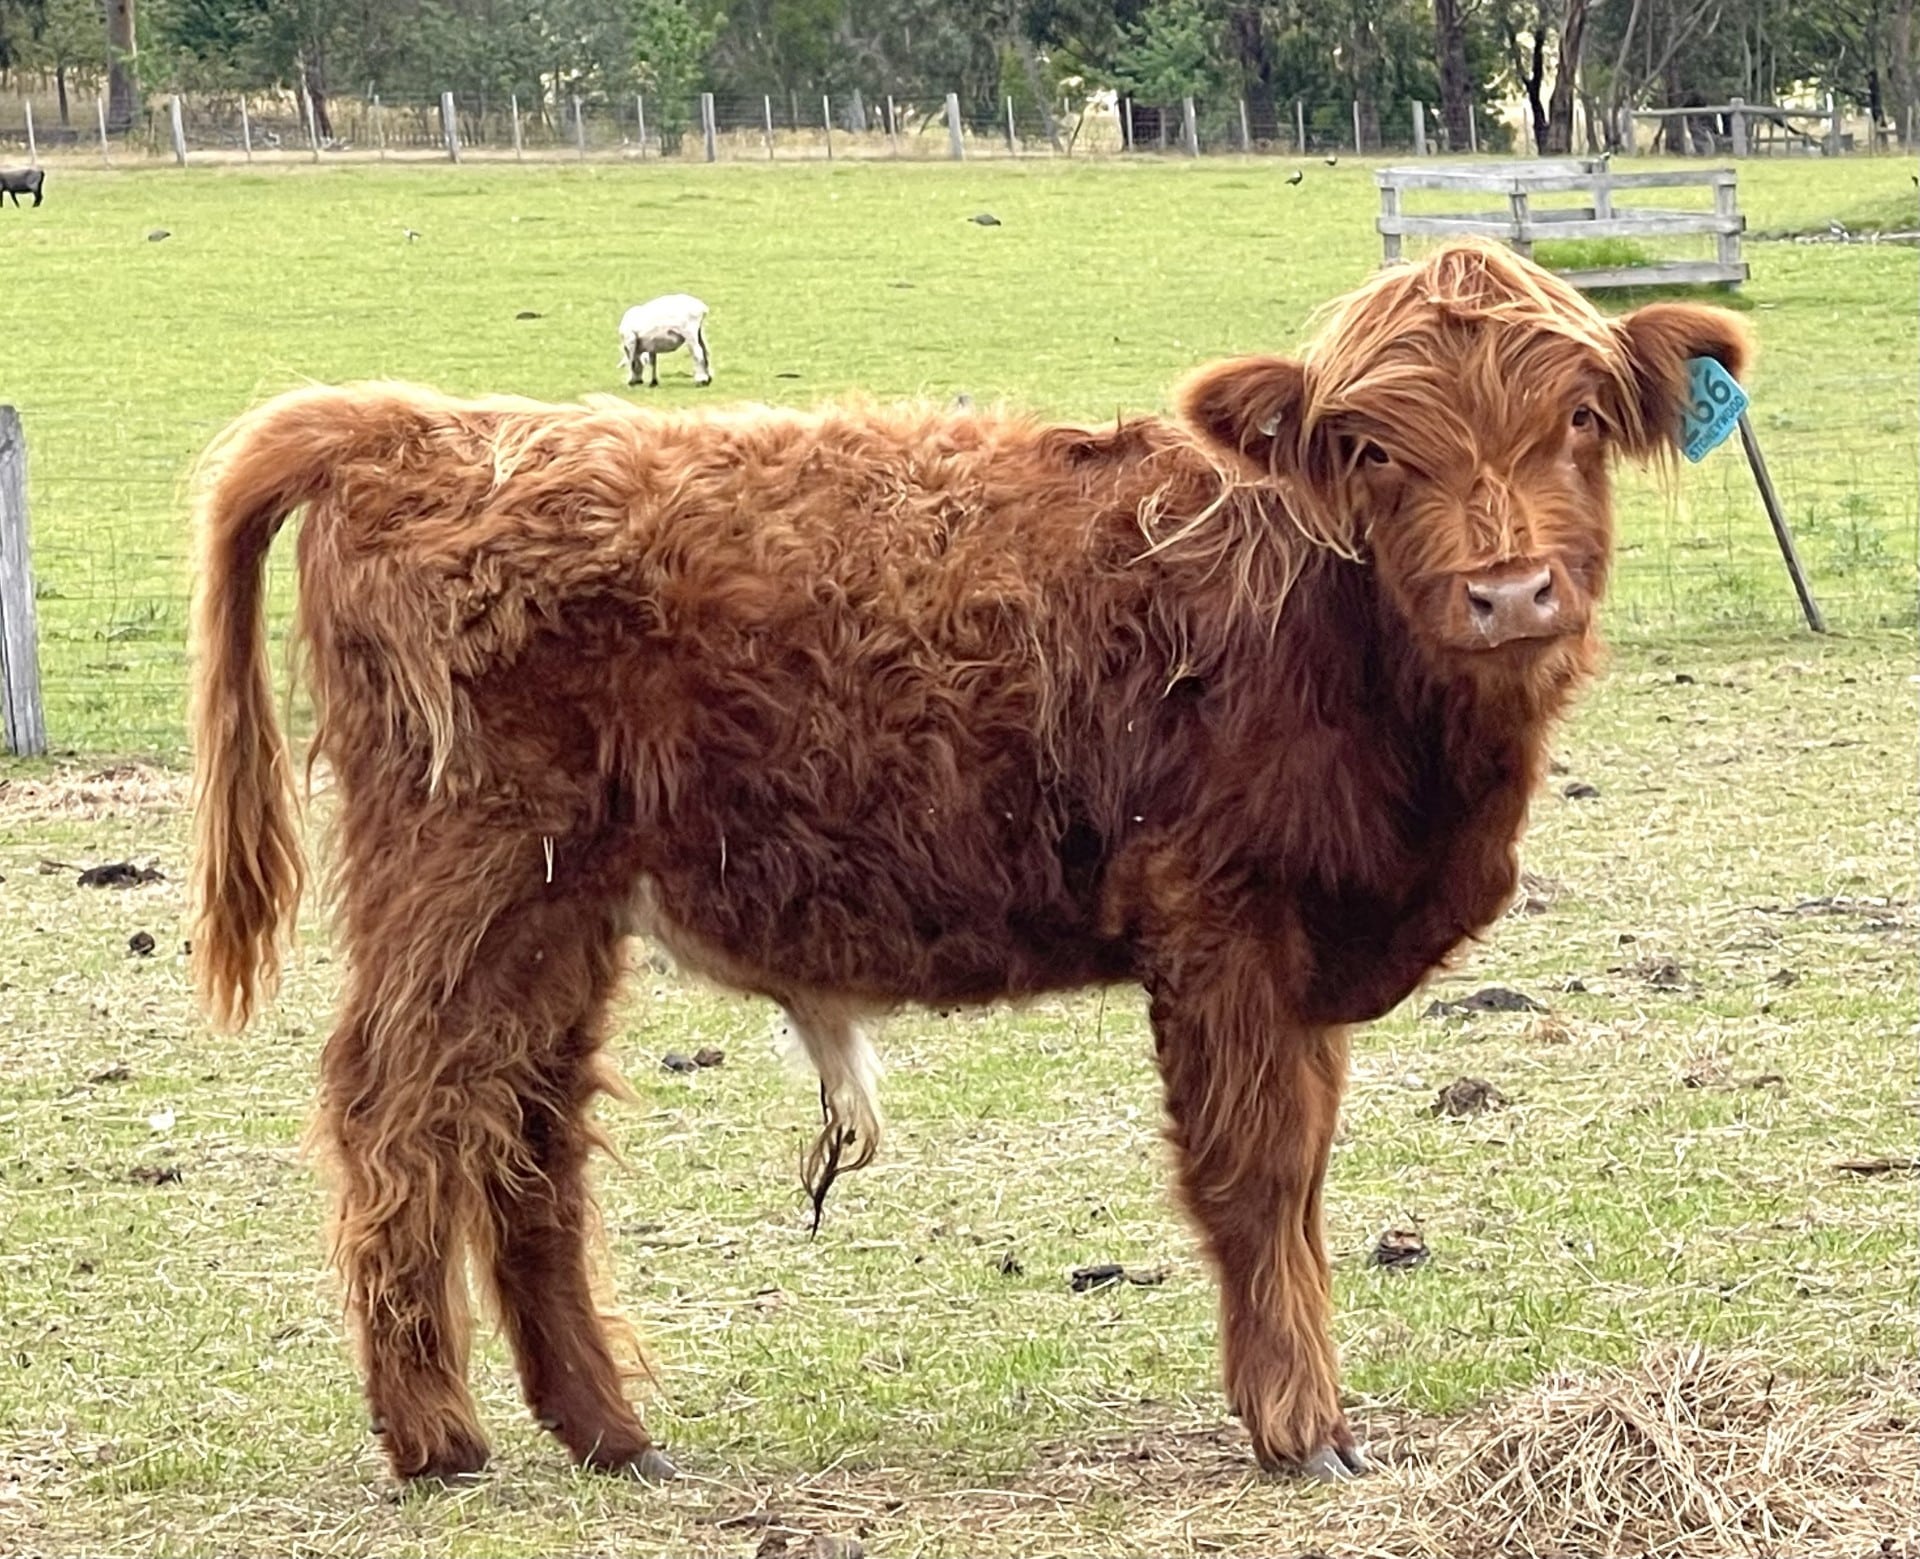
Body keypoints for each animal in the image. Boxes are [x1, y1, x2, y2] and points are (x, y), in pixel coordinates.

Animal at [188, 242, 1749, 1486]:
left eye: (1580, 417)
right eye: (1373, 447)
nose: (1508, 590)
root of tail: (416, 426)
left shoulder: (1303, 953)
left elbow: (1301, 1175)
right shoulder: (1220, 922)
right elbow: (1254, 1172)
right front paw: (1302, 1427)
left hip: (561, 906)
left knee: (526, 1132)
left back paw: (610, 1431)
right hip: (462, 871)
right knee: (397, 1108)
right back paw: (434, 1438)